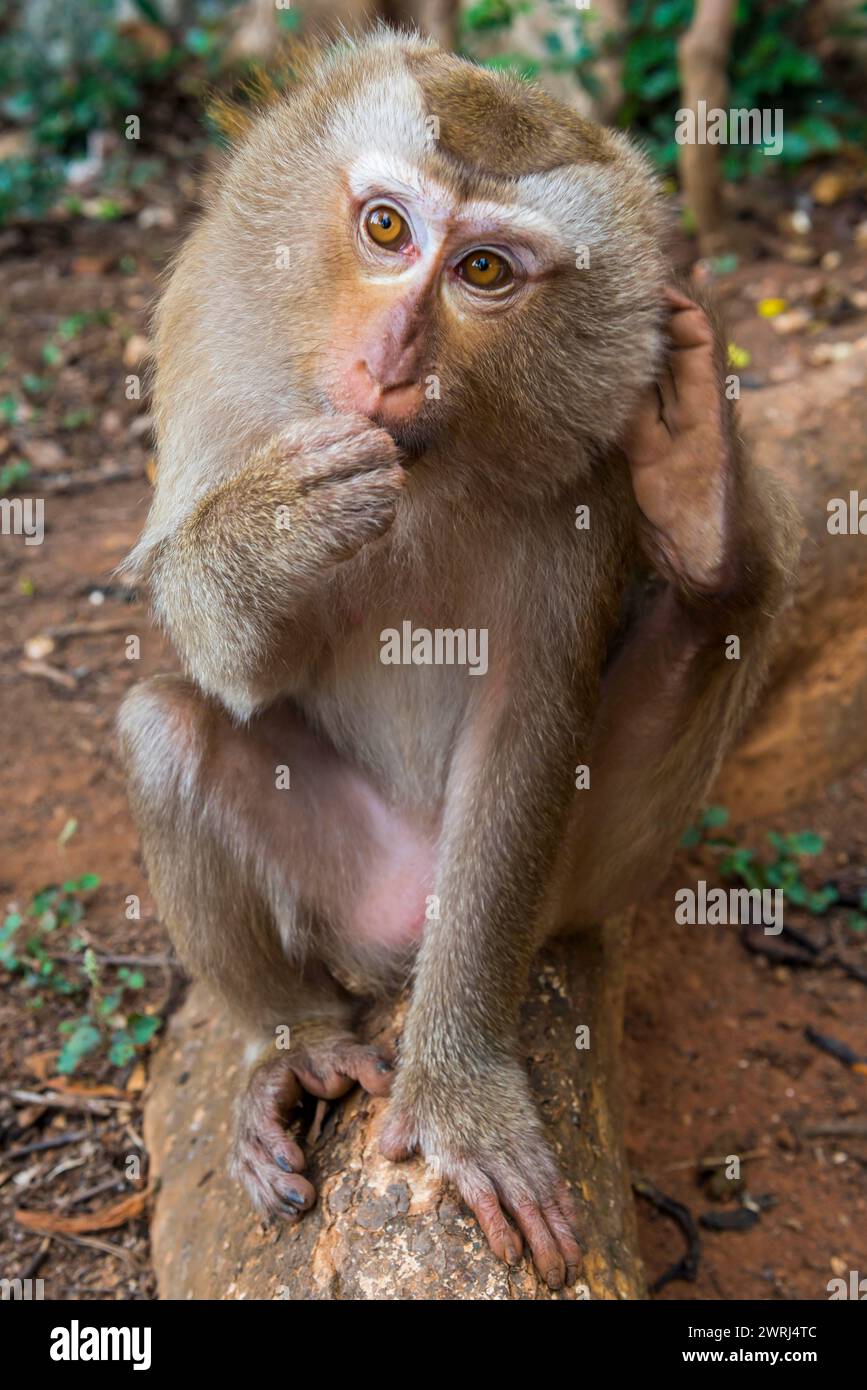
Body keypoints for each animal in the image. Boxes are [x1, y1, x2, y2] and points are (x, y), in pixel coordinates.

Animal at [117, 30, 799, 1290]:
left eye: (484, 272)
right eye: (386, 228)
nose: (391, 354)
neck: (432, 463)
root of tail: (393, 934)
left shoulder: (588, 472)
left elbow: (530, 724)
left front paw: (461, 1095)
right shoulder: (215, 359)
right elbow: (235, 659)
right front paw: (276, 524)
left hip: (576, 881)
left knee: (728, 613)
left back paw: (705, 516)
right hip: (345, 891)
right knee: (163, 725)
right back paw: (294, 1044)